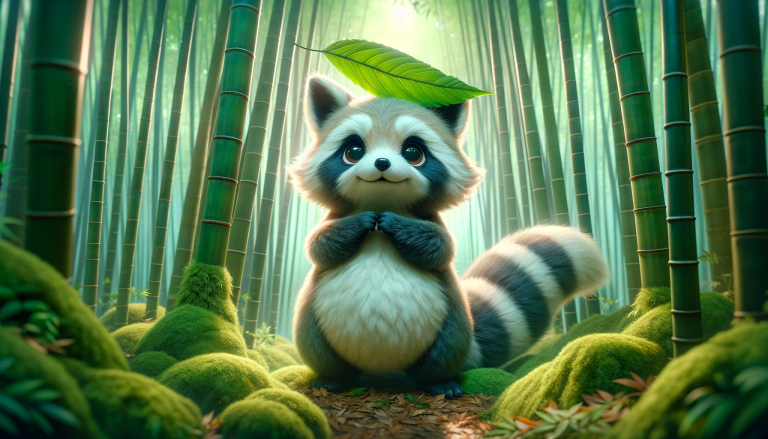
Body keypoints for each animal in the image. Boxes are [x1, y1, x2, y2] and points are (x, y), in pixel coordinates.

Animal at [289, 75, 609, 398]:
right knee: (316, 345)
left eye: (413, 152)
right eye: (353, 151)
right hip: (312, 320)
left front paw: (396, 225)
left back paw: (438, 381)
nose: (382, 163)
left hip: (451, 321)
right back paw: (333, 378)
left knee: (444, 351)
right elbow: (317, 246)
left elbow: (441, 247)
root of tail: (383, 369)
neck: (382, 199)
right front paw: (358, 223)